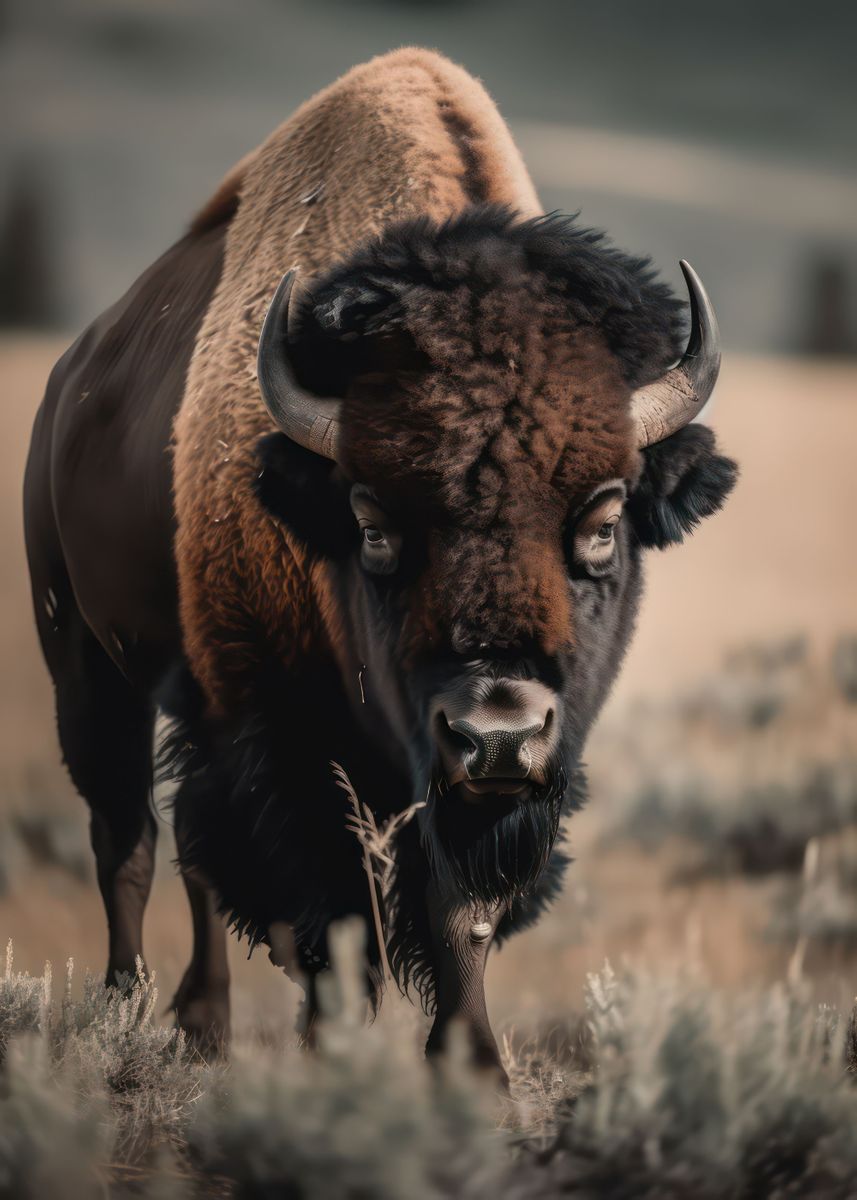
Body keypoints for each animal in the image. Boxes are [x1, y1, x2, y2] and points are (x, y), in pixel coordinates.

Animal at [23, 48, 736, 1076]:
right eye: (372, 524)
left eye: (604, 521)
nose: (496, 731)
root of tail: (68, 383)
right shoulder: (286, 738)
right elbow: (328, 917)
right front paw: (335, 1061)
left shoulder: (477, 789)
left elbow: (457, 912)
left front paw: (472, 1068)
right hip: (84, 657)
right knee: (127, 835)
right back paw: (129, 1006)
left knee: (188, 846)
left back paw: (202, 1022)